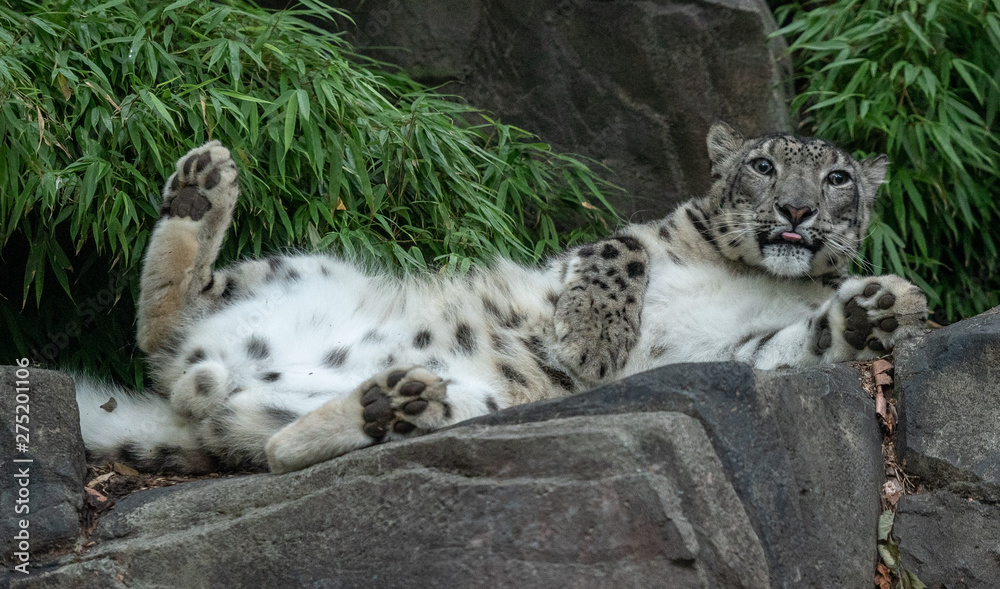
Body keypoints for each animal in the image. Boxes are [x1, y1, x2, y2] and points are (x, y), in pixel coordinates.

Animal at [76, 122, 928, 475]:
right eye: (761, 164)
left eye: (836, 175)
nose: (795, 210)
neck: (758, 275)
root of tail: (200, 386)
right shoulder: (633, 237)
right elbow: (616, 251)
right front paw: (593, 336)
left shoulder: (738, 352)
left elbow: (791, 346)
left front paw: (873, 311)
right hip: (297, 265)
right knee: (164, 317)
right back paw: (198, 187)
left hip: (469, 396)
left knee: (276, 449)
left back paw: (389, 403)